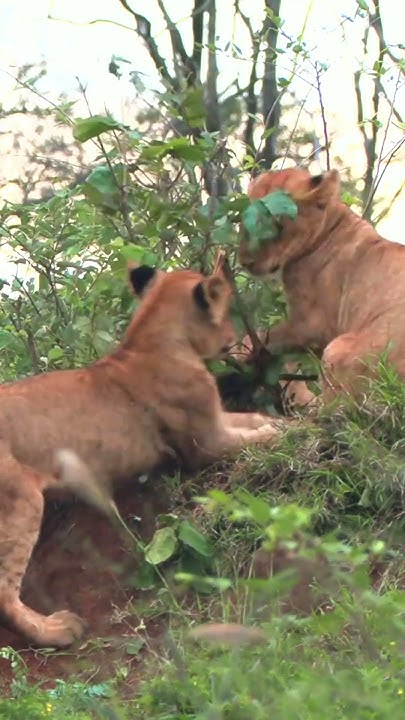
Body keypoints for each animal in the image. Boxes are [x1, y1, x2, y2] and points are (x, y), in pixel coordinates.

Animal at [0, 264, 283, 649]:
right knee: (4, 593)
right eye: (224, 311)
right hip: (20, 503)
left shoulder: (216, 420)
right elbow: (258, 438)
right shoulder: (205, 444)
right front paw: (291, 430)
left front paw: (293, 418)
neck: (151, 342)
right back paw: (57, 630)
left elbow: (255, 419)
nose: (234, 336)